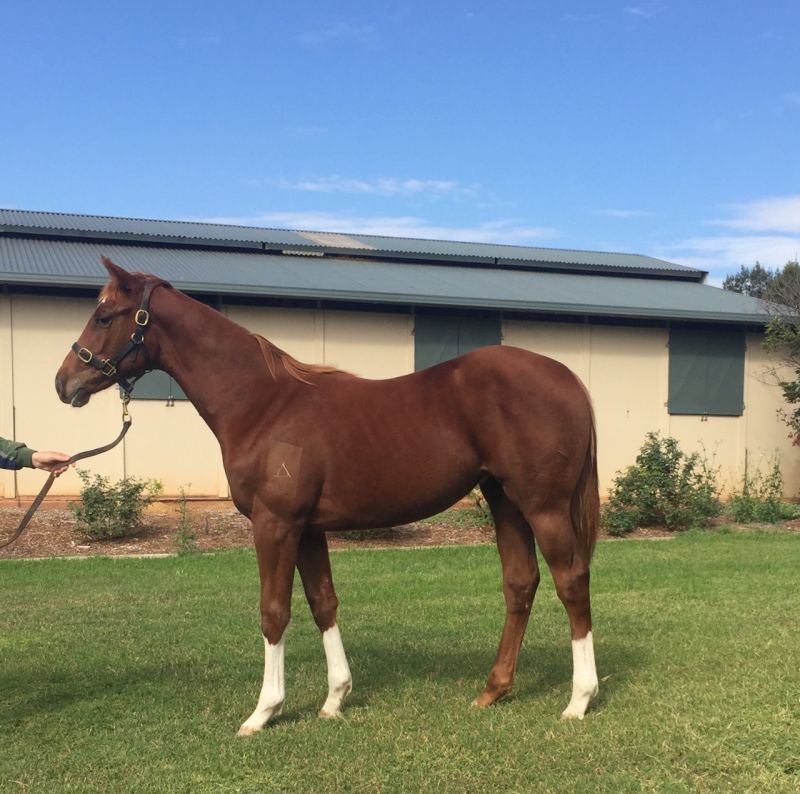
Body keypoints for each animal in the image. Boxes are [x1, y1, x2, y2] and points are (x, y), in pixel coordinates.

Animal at [55, 258, 600, 735]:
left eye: (104, 316)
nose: (64, 383)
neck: (263, 403)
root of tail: (568, 377)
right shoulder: (308, 528)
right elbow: (323, 603)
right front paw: (335, 699)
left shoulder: (274, 524)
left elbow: (274, 611)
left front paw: (263, 712)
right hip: (504, 501)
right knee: (521, 583)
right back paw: (493, 689)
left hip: (543, 507)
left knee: (570, 581)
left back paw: (579, 699)